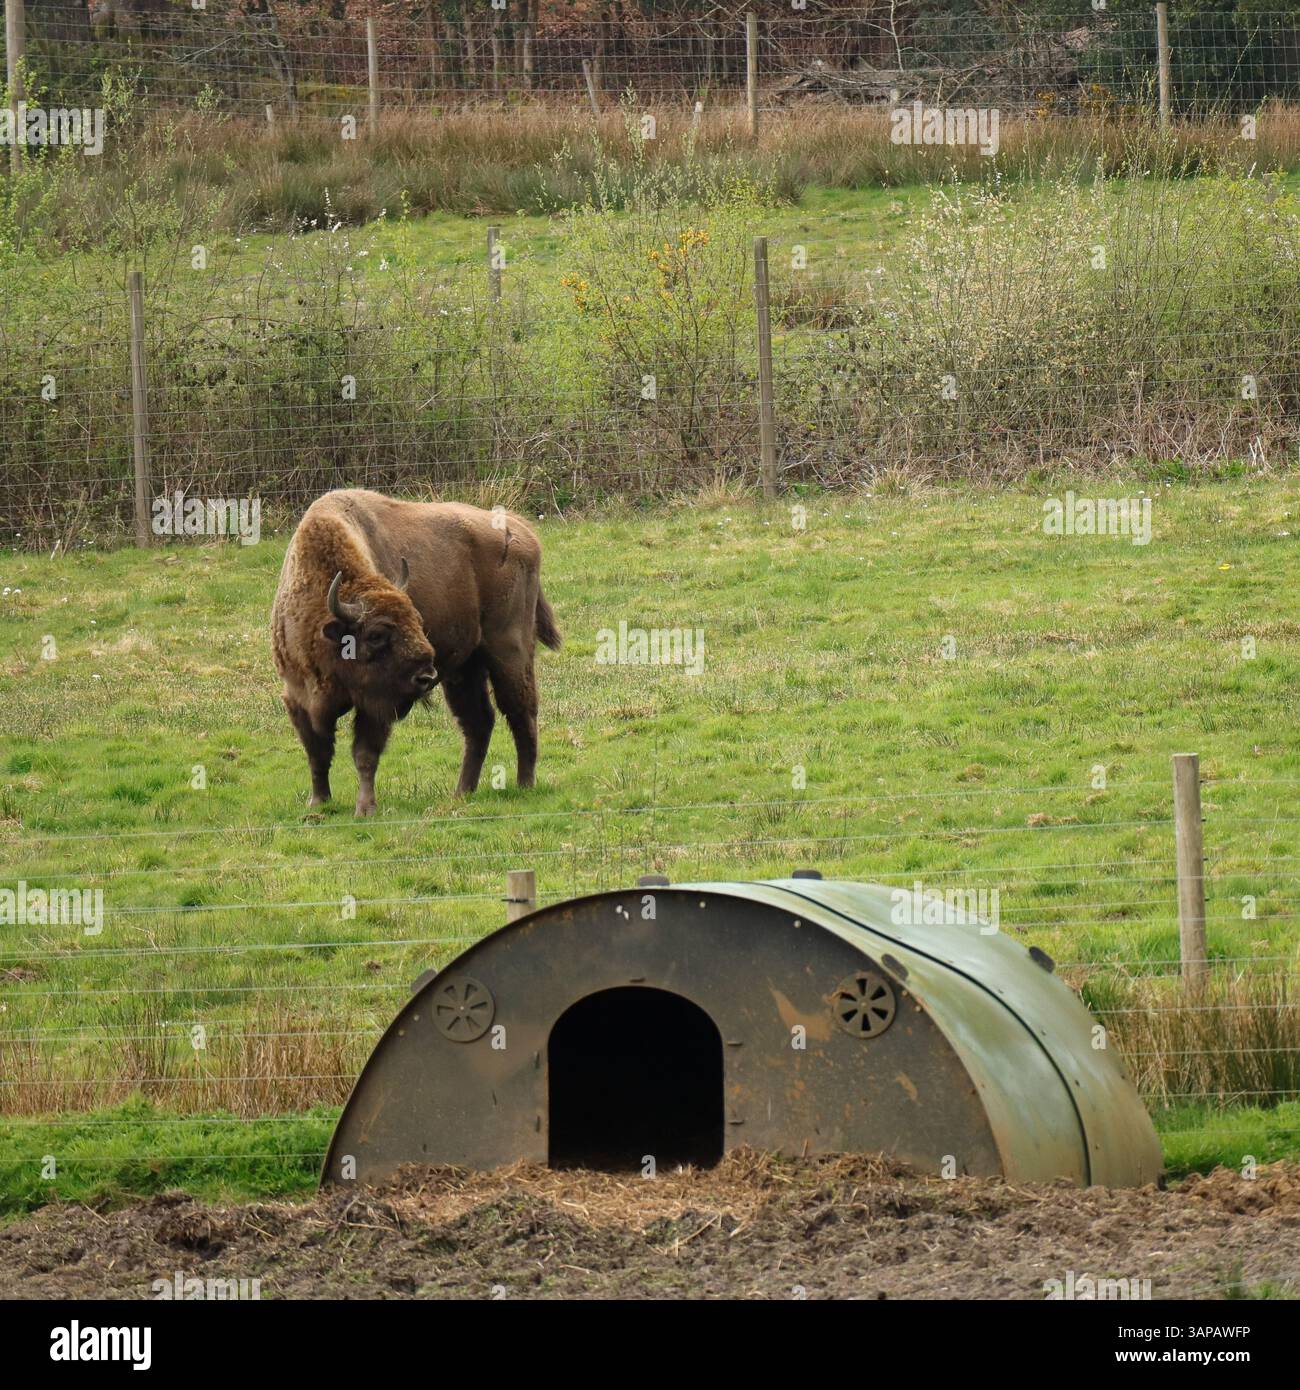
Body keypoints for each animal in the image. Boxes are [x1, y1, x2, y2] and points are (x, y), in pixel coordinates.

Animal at [271, 489, 561, 815]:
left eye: (418, 622)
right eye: (376, 635)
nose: (425, 675)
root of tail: (521, 529)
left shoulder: (378, 703)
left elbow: (364, 754)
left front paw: (365, 808)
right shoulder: (298, 697)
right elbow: (317, 753)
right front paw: (319, 803)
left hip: (510, 651)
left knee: (521, 711)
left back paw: (524, 784)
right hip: (465, 669)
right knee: (478, 723)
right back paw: (462, 792)